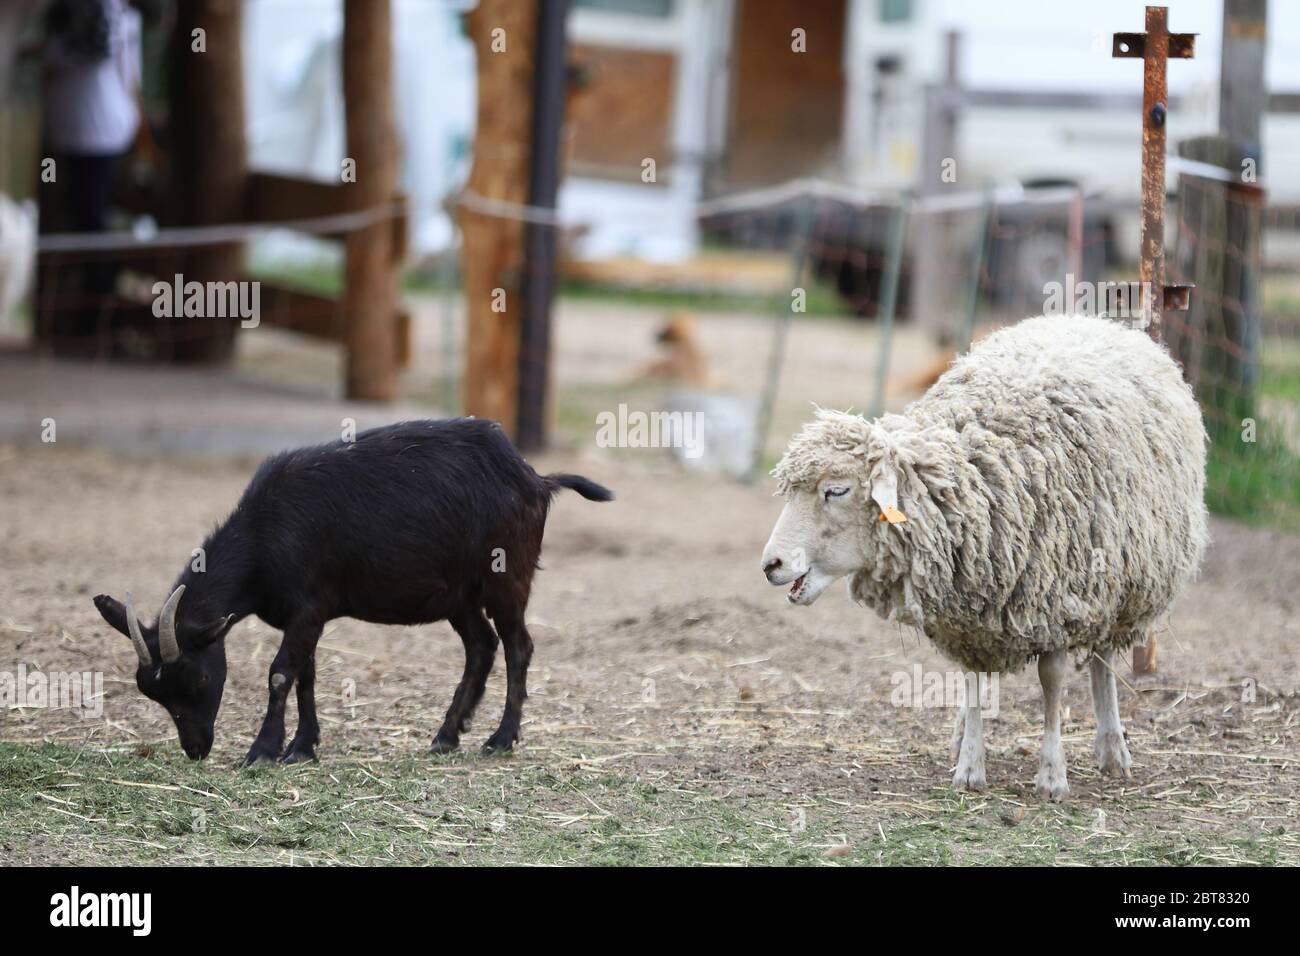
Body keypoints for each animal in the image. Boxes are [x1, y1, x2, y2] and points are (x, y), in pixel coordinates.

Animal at [93, 418, 613, 765]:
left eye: (199, 680)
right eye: (153, 694)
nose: (196, 748)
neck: (265, 534)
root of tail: (536, 479)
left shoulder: (309, 608)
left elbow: (279, 674)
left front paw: (263, 751)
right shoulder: (305, 617)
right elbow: (304, 675)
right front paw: (302, 747)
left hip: (508, 577)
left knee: (518, 646)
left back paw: (500, 740)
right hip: (458, 595)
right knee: (481, 647)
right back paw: (446, 736)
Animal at [760, 314, 1207, 799]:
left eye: (836, 490)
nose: (771, 565)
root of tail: (1086, 318)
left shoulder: (1056, 600)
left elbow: (1052, 683)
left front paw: (1052, 774)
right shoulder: (970, 610)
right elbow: (972, 679)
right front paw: (970, 766)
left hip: (1120, 585)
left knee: (1103, 660)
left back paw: (1112, 749)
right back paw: (962, 737)